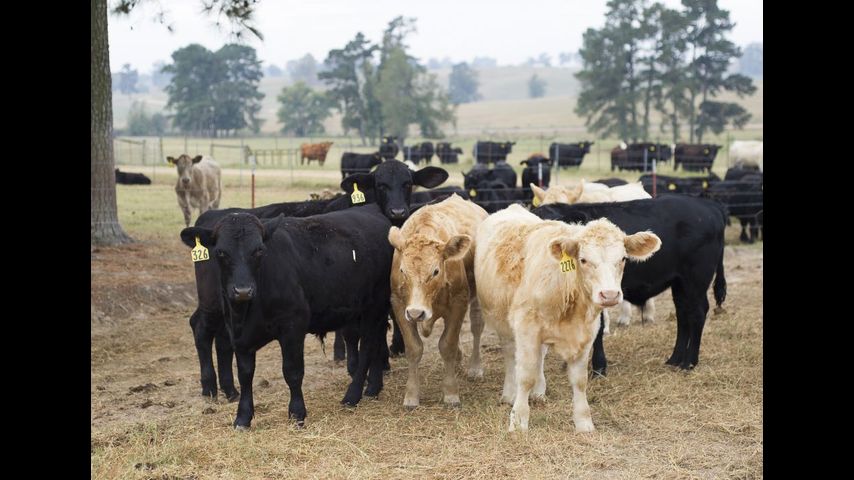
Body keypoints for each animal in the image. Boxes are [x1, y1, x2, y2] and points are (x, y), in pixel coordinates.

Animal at [179, 205, 394, 429]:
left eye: (259, 250)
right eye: (220, 252)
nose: (243, 290)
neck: (248, 312)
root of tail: (371, 210)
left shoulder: (293, 326)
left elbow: (292, 371)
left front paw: (297, 413)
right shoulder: (238, 333)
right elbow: (245, 374)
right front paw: (243, 417)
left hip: (375, 306)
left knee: (368, 346)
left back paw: (353, 395)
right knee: (376, 342)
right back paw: (373, 388)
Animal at [186, 160, 450, 403]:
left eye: (408, 183)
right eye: (380, 184)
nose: (398, 212)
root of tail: (210, 215)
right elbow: (355, 335)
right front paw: (359, 369)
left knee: (220, 339)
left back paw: (228, 389)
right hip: (213, 302)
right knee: (202, 329)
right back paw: (210, 387)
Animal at [388, 194, 489, 409]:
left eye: (435, 271)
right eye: (402, 270)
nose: (416, 313)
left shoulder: (459, 302)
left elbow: (447, 345)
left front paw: (451, 393)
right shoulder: (400, 305)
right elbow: (414, 348)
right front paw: (411, 396)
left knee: (476, 327)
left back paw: (475, 367)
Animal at [475, 204, 661, 431]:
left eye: (623, 259)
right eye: (583, 260)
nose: (609, 295)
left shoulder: (586, 334)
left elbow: (579, 380)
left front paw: (584, 423)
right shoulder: (526, 329)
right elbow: (525, 376)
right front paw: (518, 421)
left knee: (540, 357)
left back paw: (539, 391)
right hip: (501, 321)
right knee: (511, 355)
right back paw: (509, 394)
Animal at [533, 194, 728, 373]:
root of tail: (708, 205)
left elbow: (598, 329)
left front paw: (599, 367)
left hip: (695, 280)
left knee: (697, 313)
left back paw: (689, 362)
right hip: (680, 283)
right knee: (683, 313)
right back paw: (675, 359)